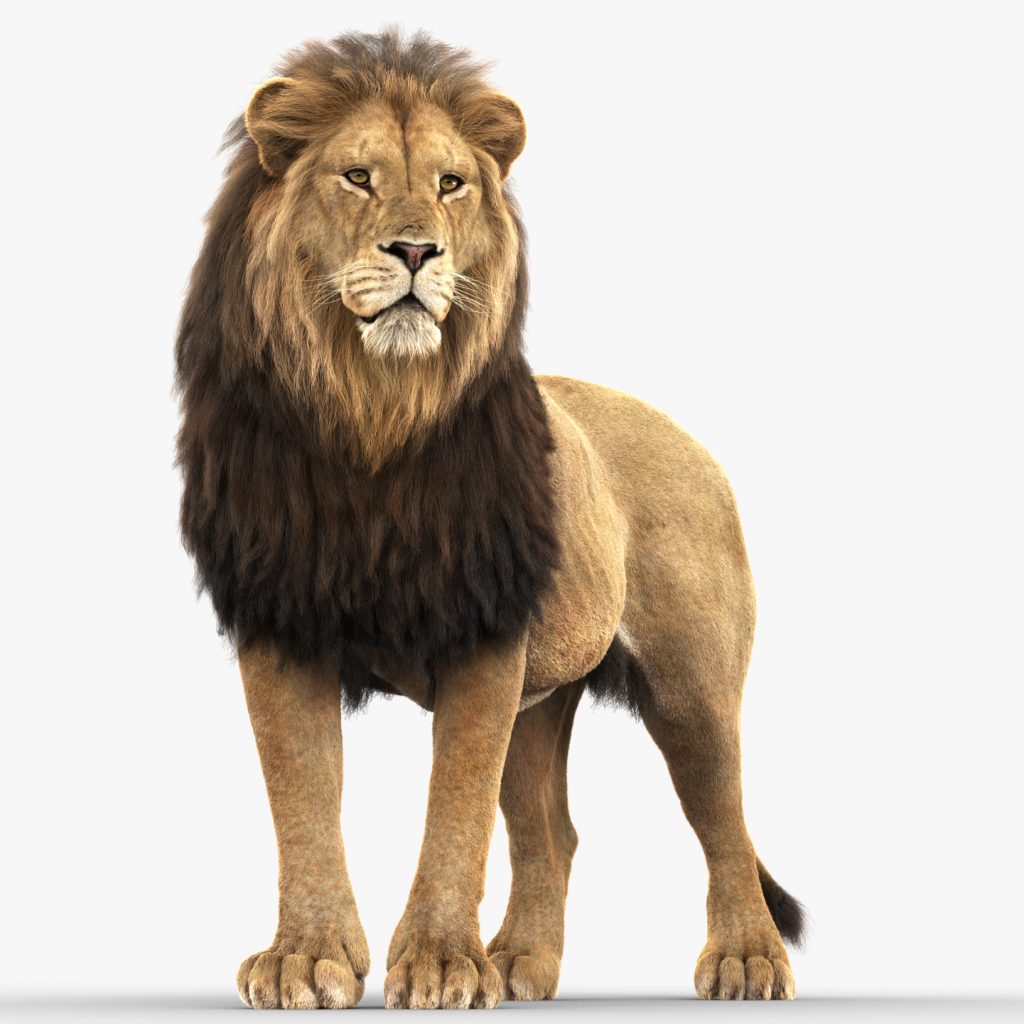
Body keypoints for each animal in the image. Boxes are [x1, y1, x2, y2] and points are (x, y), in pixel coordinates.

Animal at [175, 26, 804, 1009]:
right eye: (357, 176)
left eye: (450, 183)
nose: (416, 251)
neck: (372, 419)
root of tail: (691, 439)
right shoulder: (280, 620)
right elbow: (302, 798)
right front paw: (307, 958)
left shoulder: (485, 638)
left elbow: (455, 812)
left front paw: (438, 963)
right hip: (543, 698)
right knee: (552, 829)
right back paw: (519, 962)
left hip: (690, 682)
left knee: (724, 819)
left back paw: (745, 961)